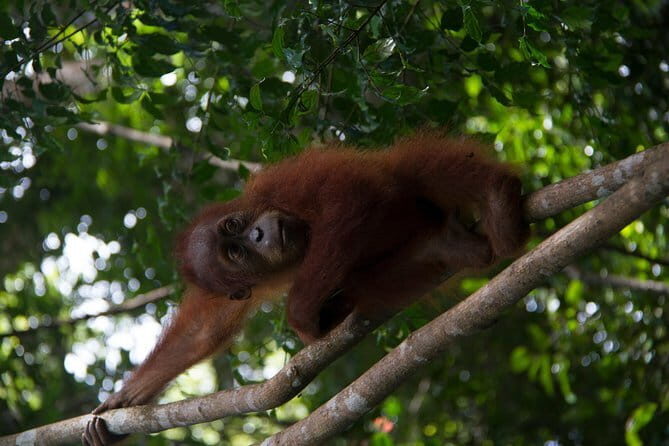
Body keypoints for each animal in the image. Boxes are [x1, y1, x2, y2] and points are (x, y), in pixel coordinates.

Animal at [82, 132, 528, 445]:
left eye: (235, 229)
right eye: (235, 253)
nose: (259, 234)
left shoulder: (280, 185)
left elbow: (348, 193)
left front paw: (299, 316)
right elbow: (202, 332)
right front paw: (126, 401)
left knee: (409, 167)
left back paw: (497, 195)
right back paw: (448, 246)